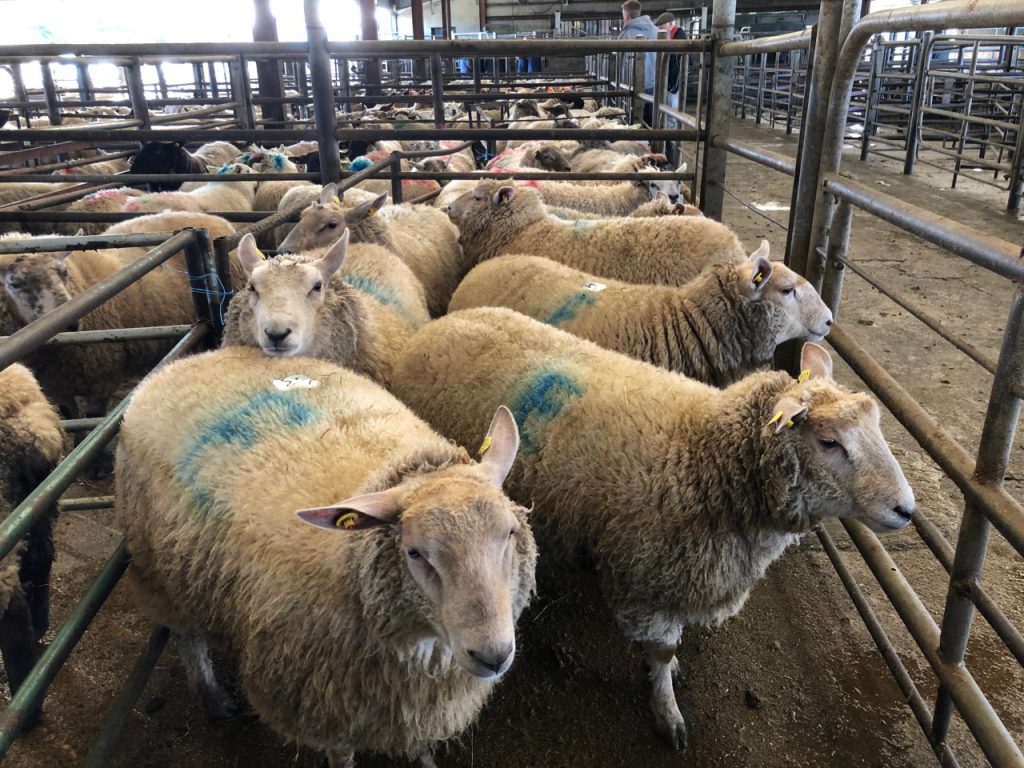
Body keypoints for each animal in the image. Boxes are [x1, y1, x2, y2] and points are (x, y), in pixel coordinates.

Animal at [114, 346, 537, 766]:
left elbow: (419, 745)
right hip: (159, 570)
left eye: (509, 532)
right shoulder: (326, 703)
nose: (493, 655)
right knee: (187, 638)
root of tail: (191, 360)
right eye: (415, 553)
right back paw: (213, 699)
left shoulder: (416, 704)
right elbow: (341, 753)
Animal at [390, 307, 916, 751]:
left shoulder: (674, 576)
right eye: (829, 442)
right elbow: (662, 651)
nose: (906, 509)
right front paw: (668, 712)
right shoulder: (643, 579)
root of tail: (441, 323)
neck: (701, 456)